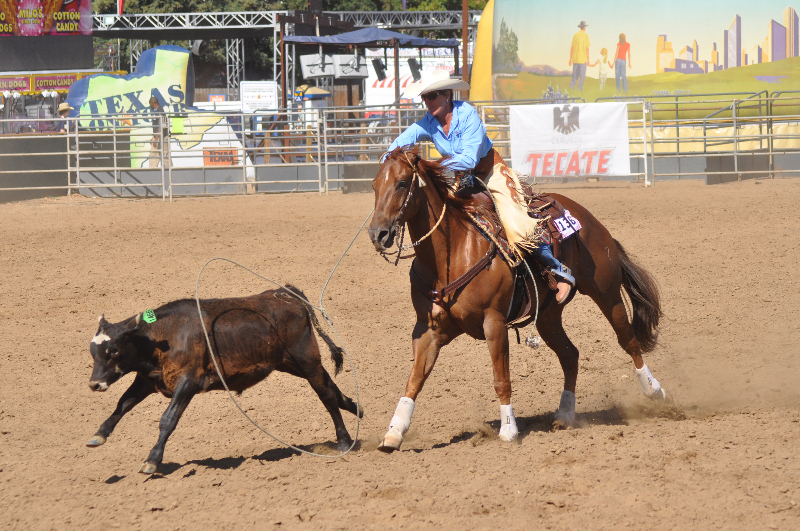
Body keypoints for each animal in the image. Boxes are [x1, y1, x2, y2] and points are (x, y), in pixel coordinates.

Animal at [368, 147, 666, 452]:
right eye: (375, 185)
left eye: (402, 183)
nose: (378, 233)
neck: (452, 254)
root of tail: (589, 220)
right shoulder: (429, 330)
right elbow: (414, 379)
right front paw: (394, 432)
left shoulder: (494, 323)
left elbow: (502, 379)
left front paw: (508, 429)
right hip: (547, 316)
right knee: (570, 355)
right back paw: (565, 414)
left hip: (606, 293)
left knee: (628, 339)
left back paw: (654, 391)